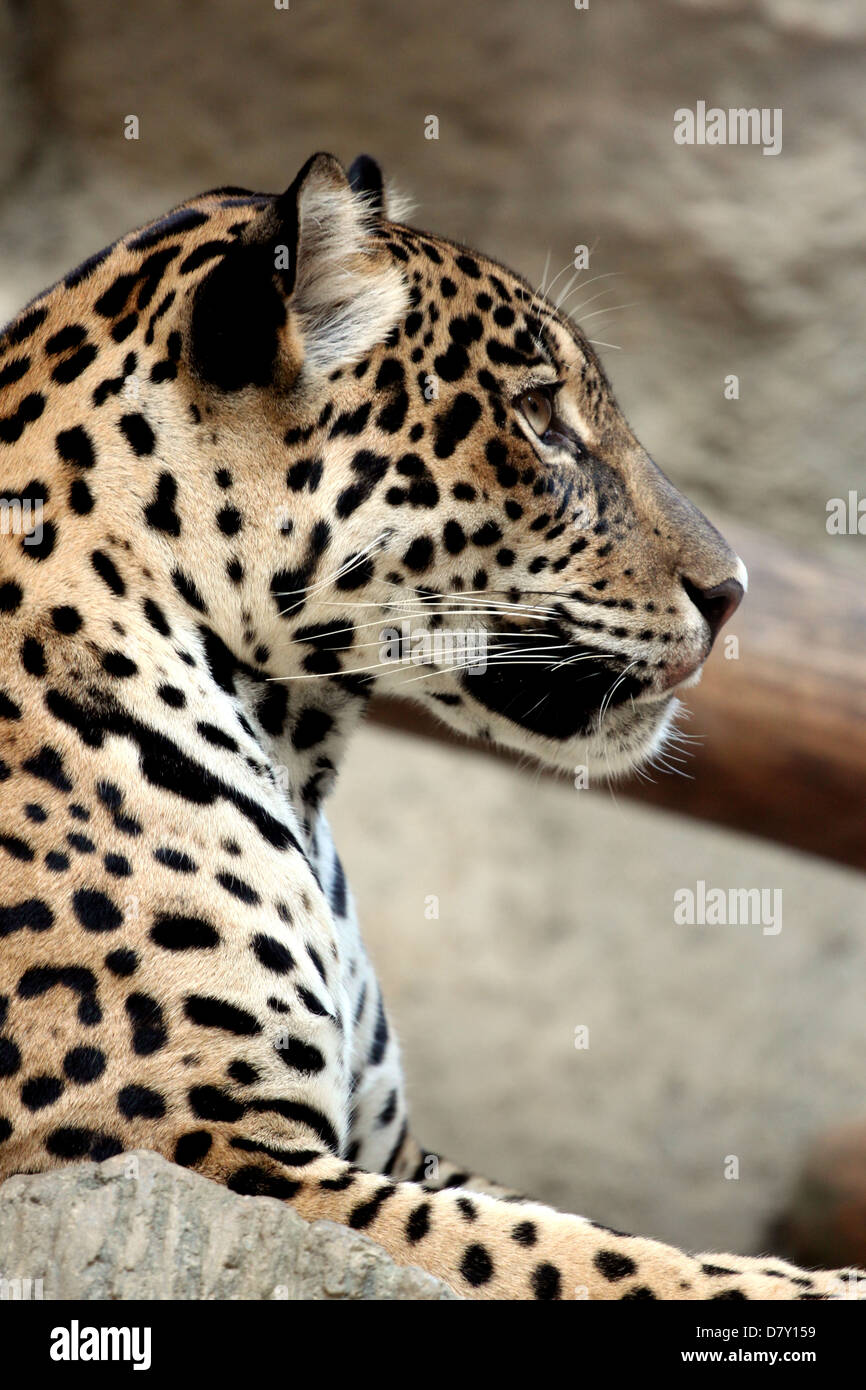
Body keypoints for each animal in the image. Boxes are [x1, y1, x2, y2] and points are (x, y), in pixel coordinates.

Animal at [0, 150, 859, 1301]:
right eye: (539, 413)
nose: (732, 593)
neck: (297, 754)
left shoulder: (386, 1146)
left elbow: (572, 1221)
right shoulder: (187, 1146)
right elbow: (585, 1255)